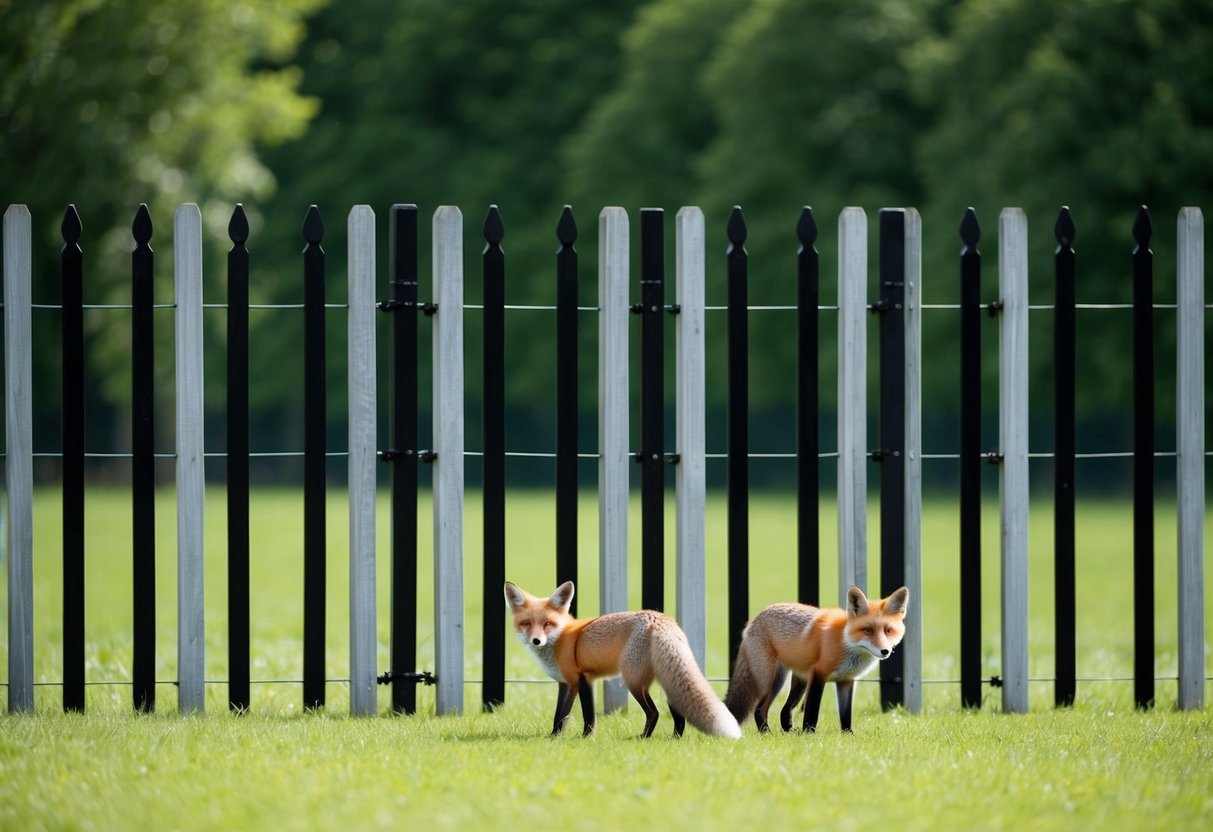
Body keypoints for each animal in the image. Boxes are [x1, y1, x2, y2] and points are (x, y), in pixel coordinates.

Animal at [504, 580, 742, 739]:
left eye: (548, 624)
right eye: (526, 624)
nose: (536, 641)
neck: (561, 639)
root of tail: (659, 618)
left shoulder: (582, 680)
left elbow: (586, 715)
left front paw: (585, 738)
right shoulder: (566, 684)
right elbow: (560, 715)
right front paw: (554, 737)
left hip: (633, 681)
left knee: (654, 712)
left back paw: (644, 738)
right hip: (665, 680)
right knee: (678, 714)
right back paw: (674, 738)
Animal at [724, 585, 909, 734]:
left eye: (888, 630)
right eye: (868, 630)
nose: (885, 651)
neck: (844, 642)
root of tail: (753, 621)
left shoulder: (846, 680)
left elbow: (845, 715)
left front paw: (848, 735)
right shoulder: (819, 674)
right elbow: (812, 710)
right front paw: (808, 734)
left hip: (798, 680)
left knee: (784, 710)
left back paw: (788, 732)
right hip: (772, 680)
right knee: (759, 710)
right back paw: (767, 733)